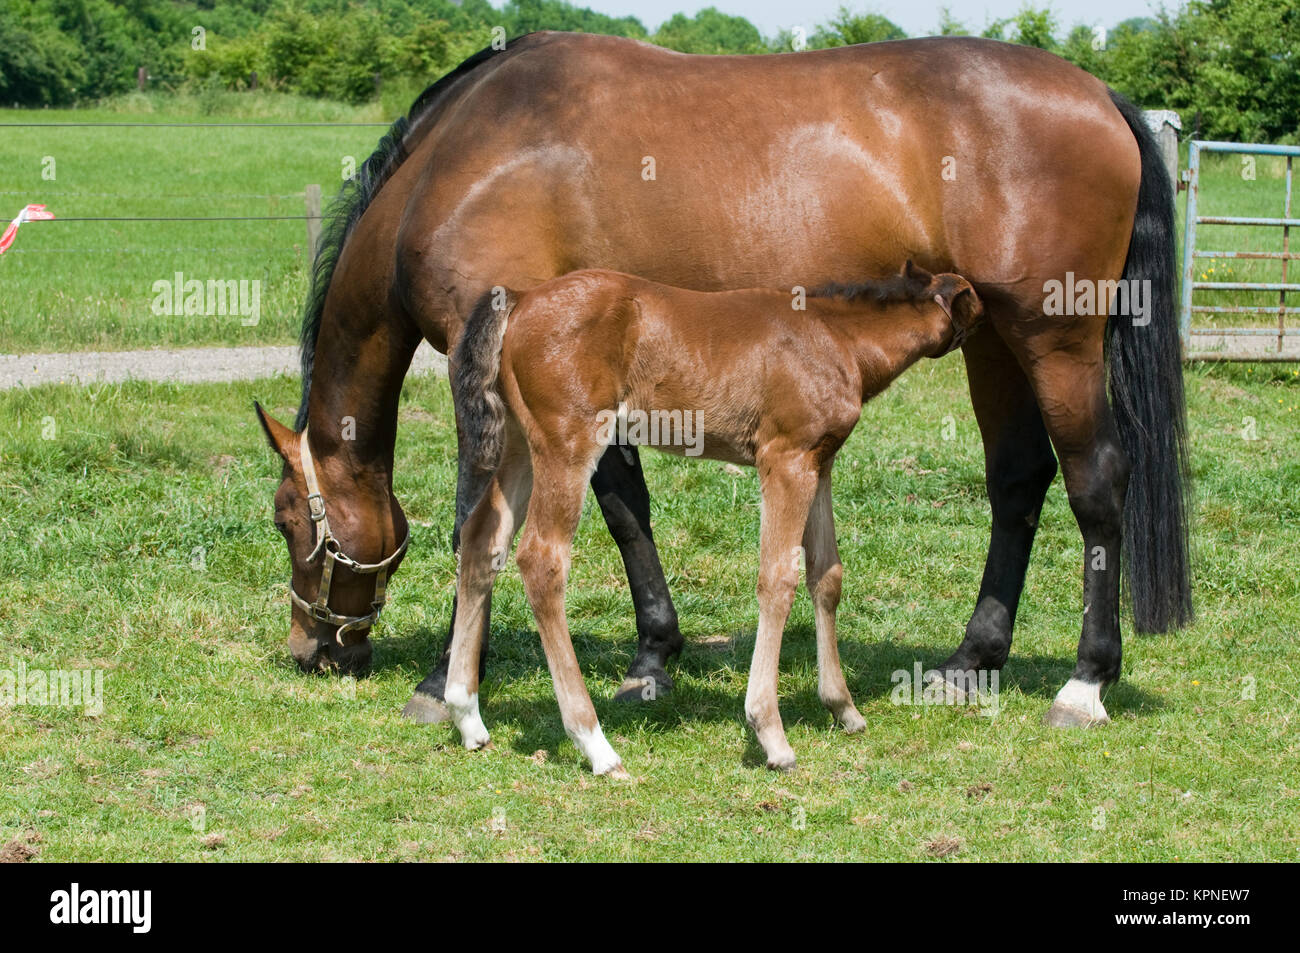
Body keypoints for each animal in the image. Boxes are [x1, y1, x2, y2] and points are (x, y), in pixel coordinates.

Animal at [444, 263, 985, 774]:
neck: (838, 339)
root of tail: (519, 300)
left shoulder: (820, 461)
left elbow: (826, 574)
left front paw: (843, 708)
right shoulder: (784, 459)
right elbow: (778, 578)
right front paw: (771, 734)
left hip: (519, 442)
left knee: (482, 537)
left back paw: (466, 715)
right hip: (567, 442)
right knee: (541, 558)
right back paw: (595, 745)